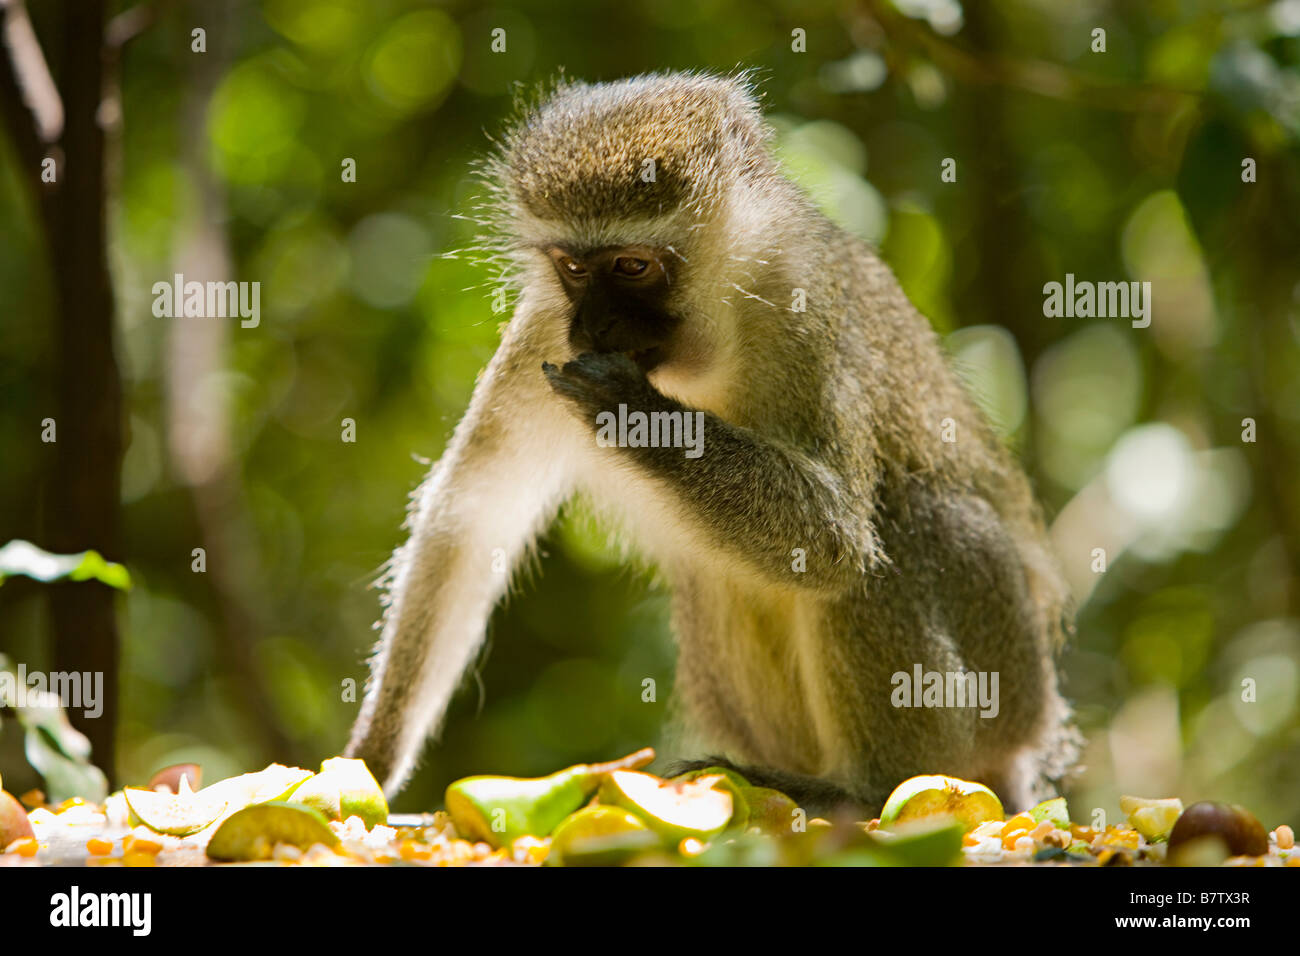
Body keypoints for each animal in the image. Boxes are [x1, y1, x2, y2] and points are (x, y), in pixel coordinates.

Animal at [344, 71, 1080, 816]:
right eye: (573, 268)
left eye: (632, 266)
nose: (594, 326)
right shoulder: (544, 333)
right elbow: (472, 518)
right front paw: (370, 758)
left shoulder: (799, 306)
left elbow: (835, 540)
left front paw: (632, 411)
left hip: (1003, 666)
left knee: (899, 529)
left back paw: (865, 791)